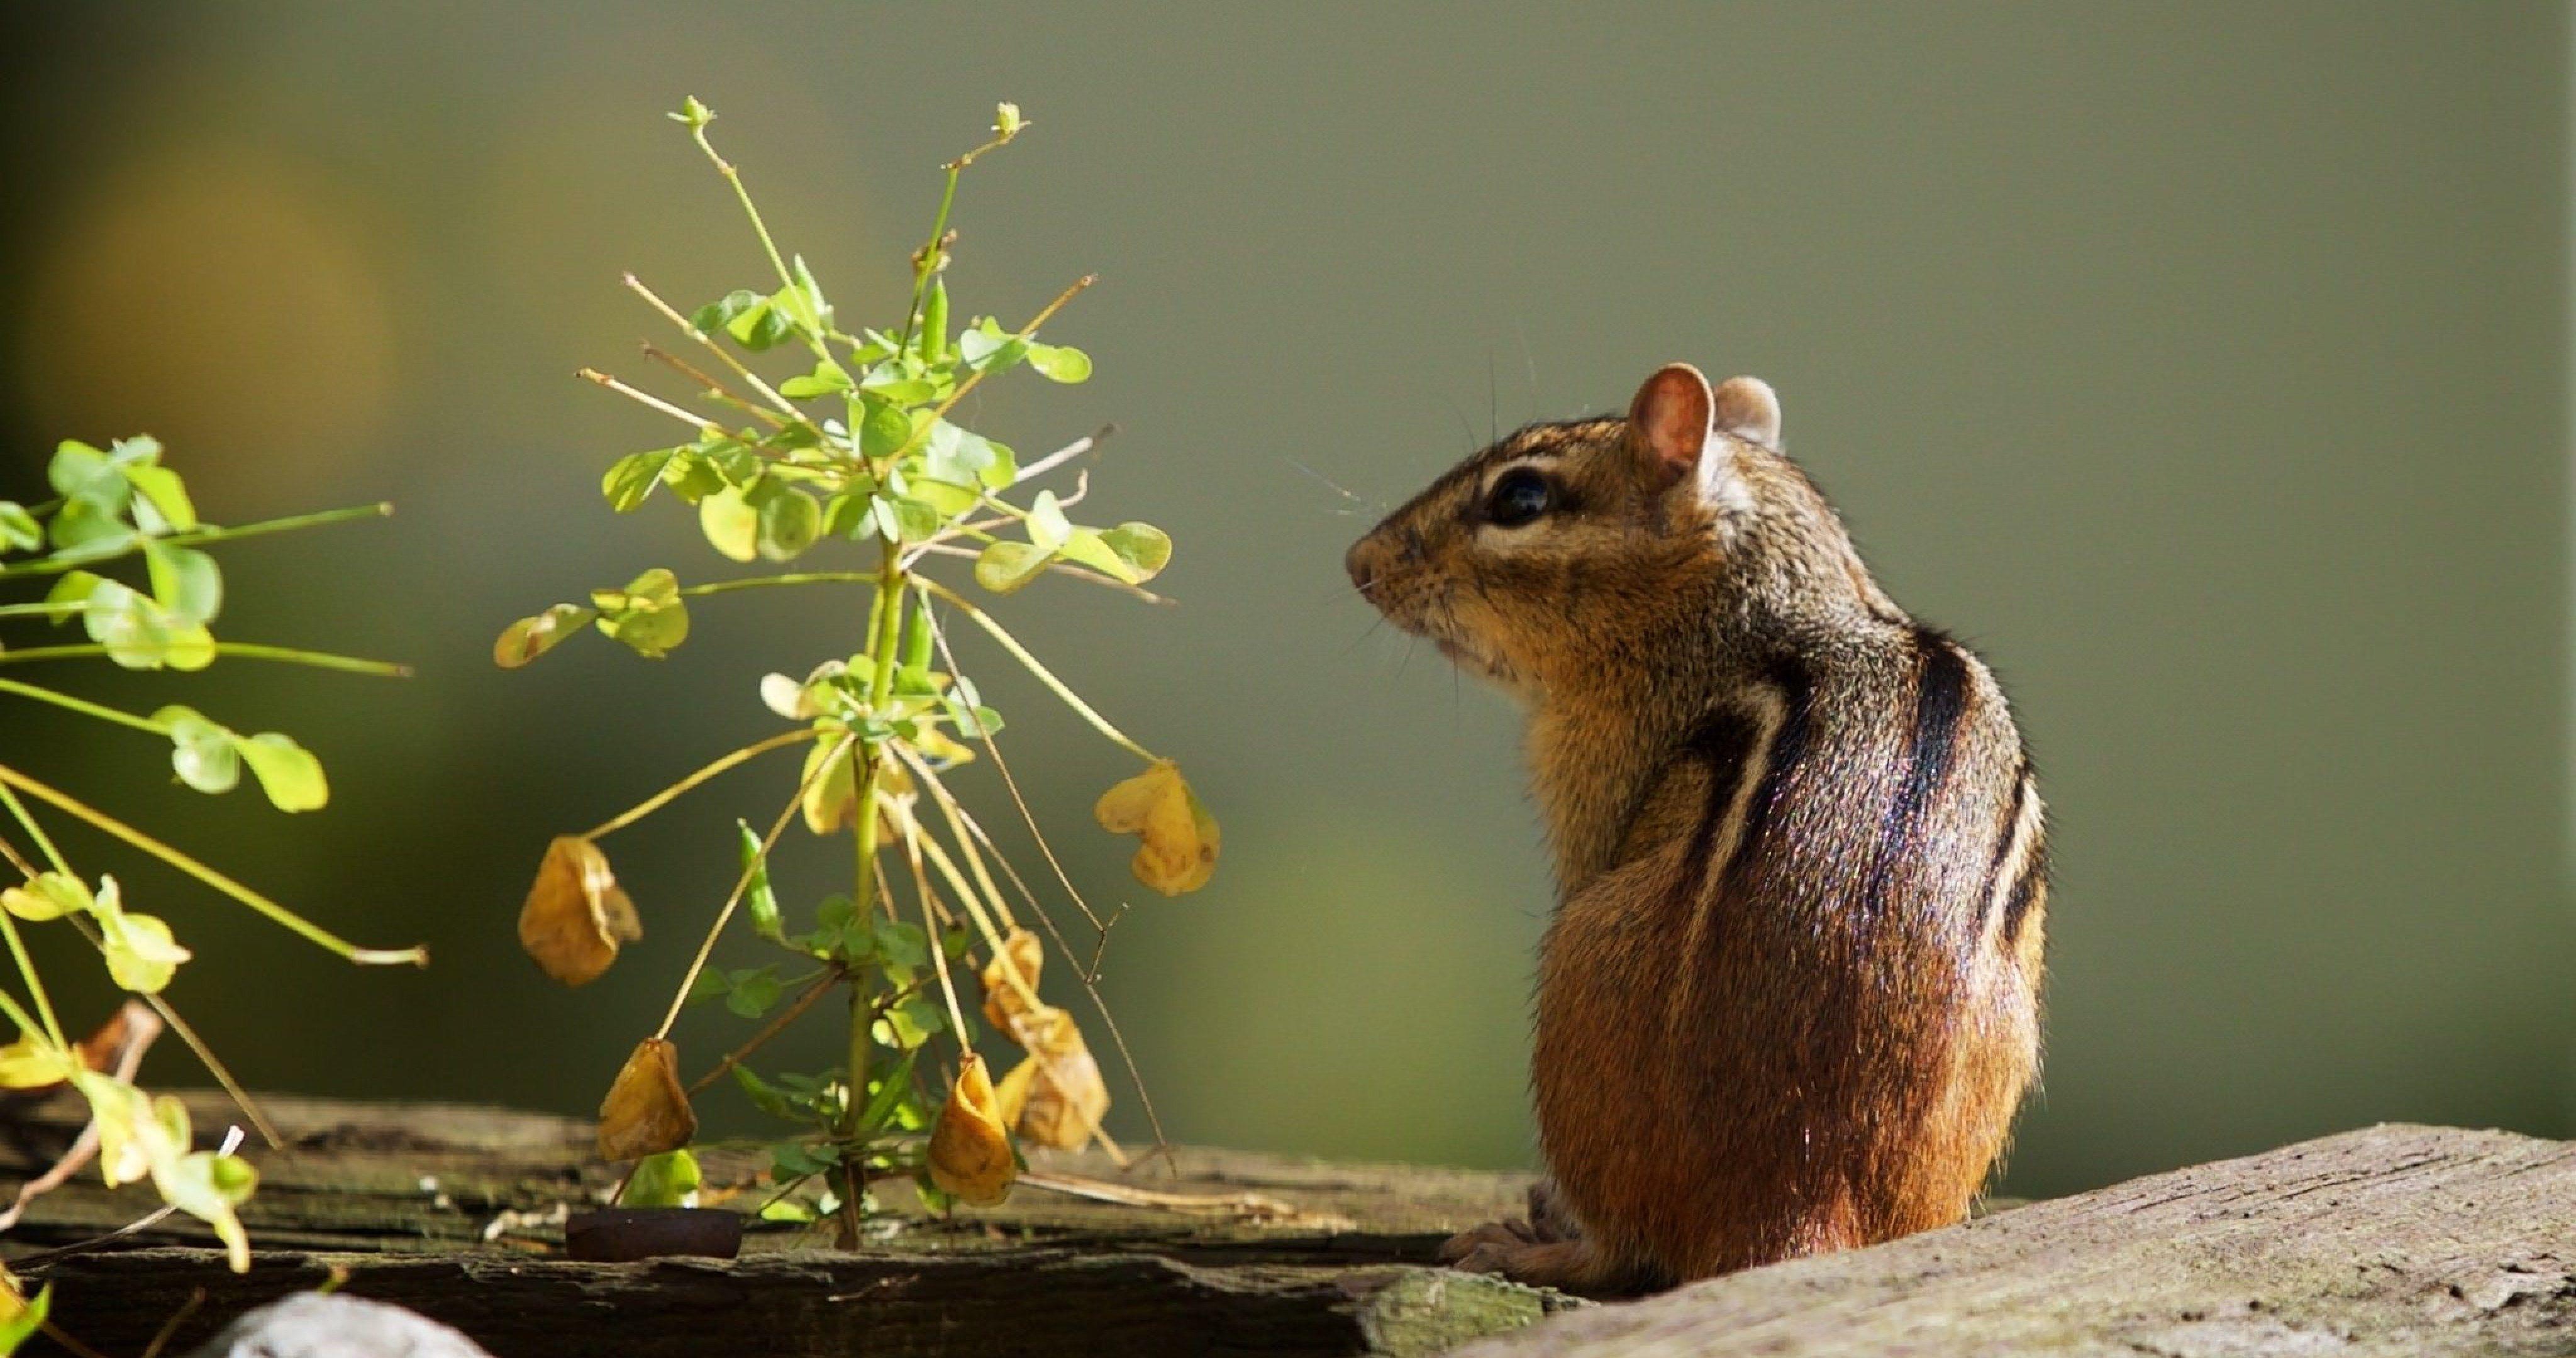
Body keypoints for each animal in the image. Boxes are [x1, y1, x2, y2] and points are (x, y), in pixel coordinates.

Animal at [1345, 363, 2047, 1295]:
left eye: (1520, 498)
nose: (1360, 563)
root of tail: (1794, 1194)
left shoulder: (1596, 783)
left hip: (1579, 963)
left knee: (1619, 1248)